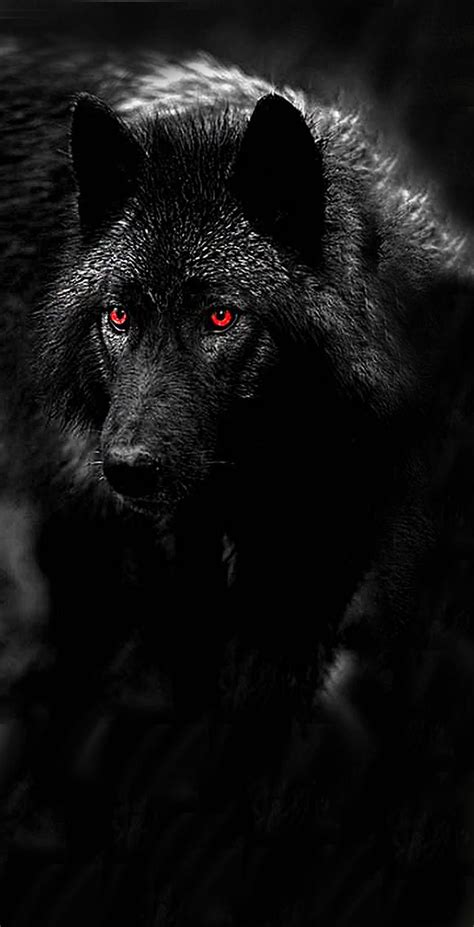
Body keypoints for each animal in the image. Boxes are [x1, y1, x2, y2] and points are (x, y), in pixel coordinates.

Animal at [2, 39, 474, 926]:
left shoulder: (299, 598)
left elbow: (253, 755)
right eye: (119, 316)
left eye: (221, 316)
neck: (263, 483)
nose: (127, 466)